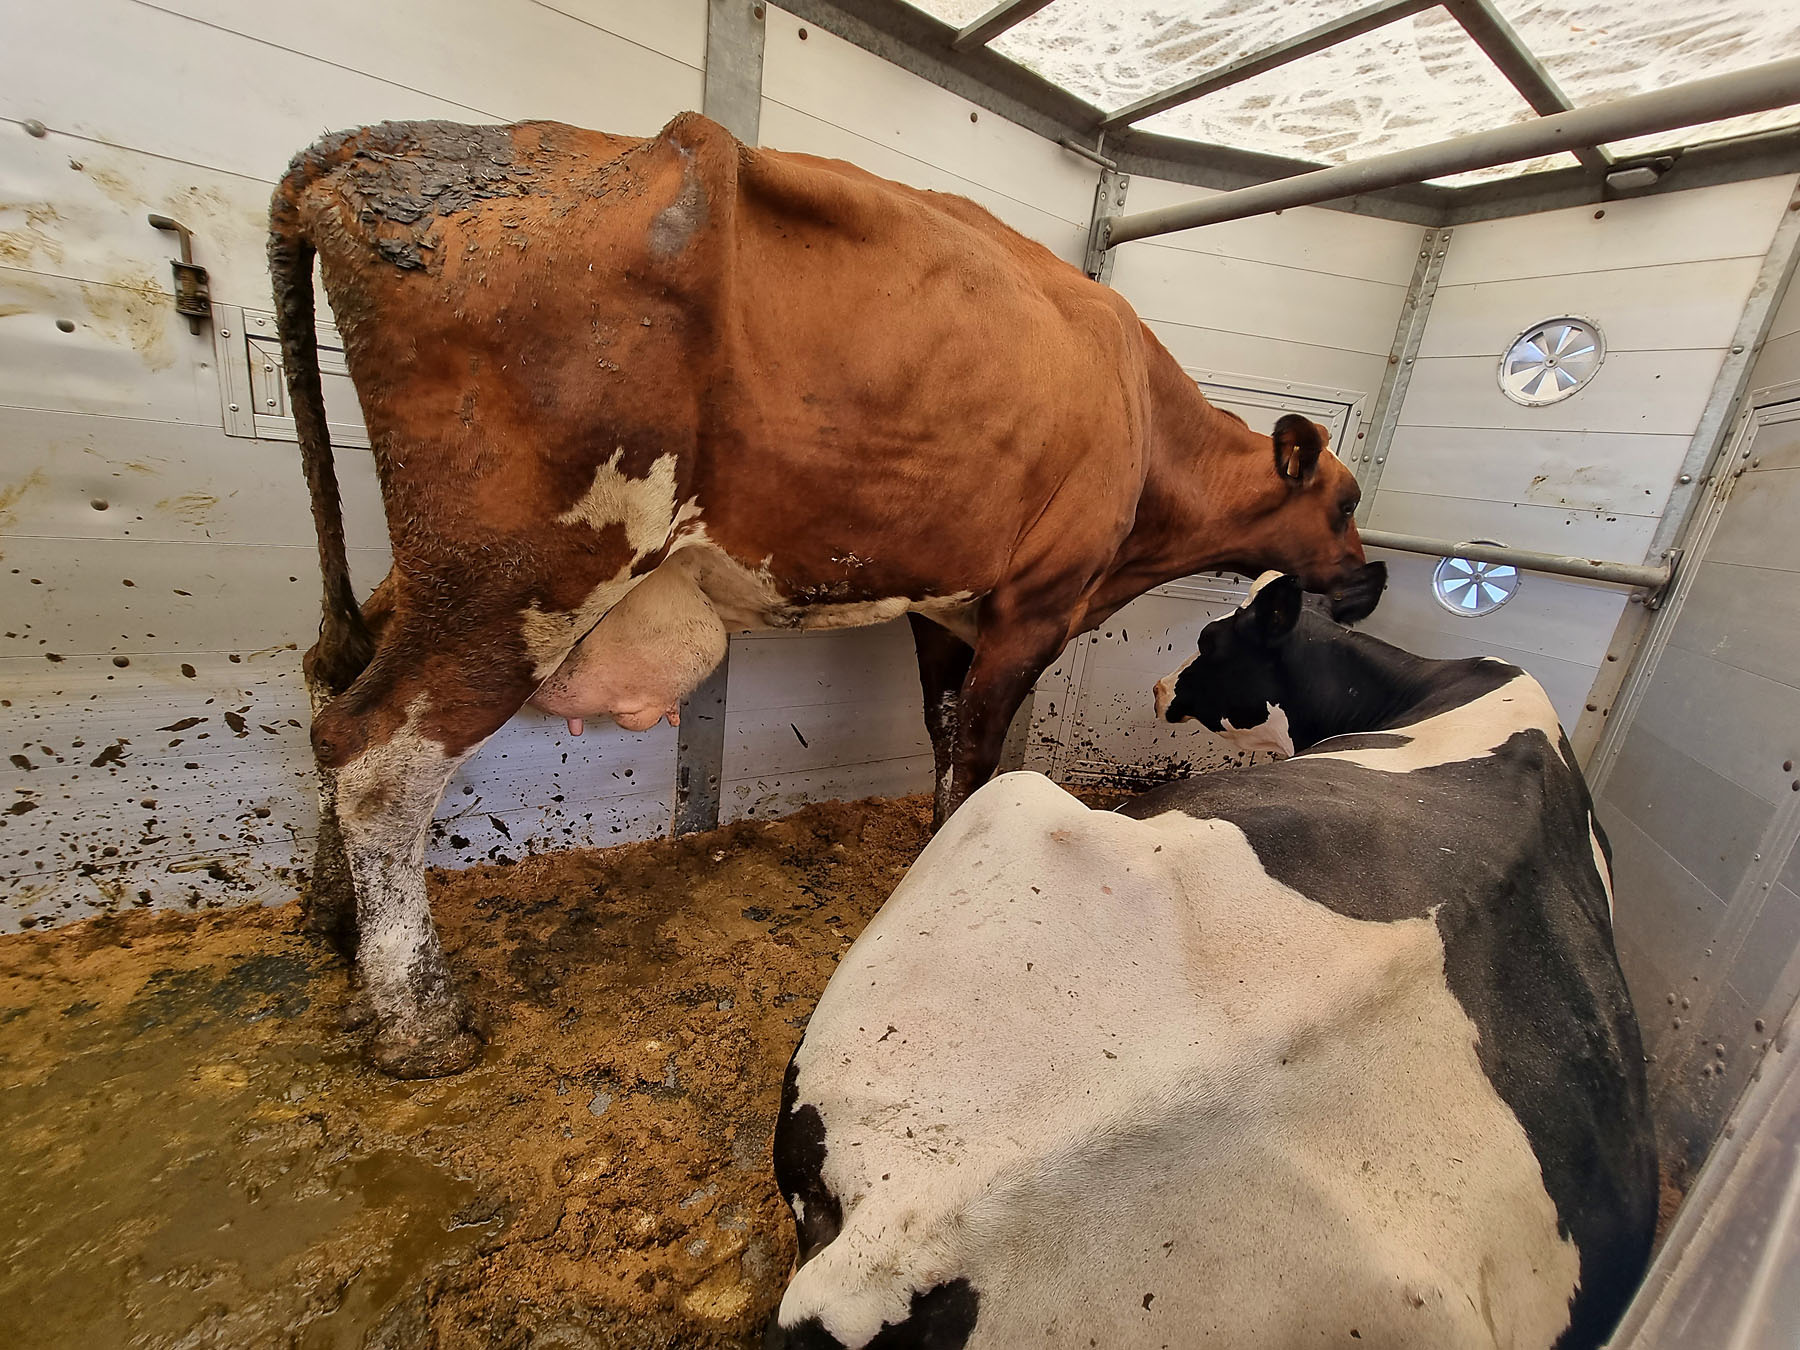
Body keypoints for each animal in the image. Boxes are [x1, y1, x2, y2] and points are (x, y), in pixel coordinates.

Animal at [269, 112, 1384, 1077]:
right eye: (1345, 500)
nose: (1372, 577)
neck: (1145, 425)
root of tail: (366, 145)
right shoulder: (1037, 603)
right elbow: (976, 754)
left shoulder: (948, 606)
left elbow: (944, 732)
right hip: (523, 570)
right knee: (379, 753)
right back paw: (421, 1024)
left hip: (440, 569)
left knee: (331, 676)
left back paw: (336, 925)